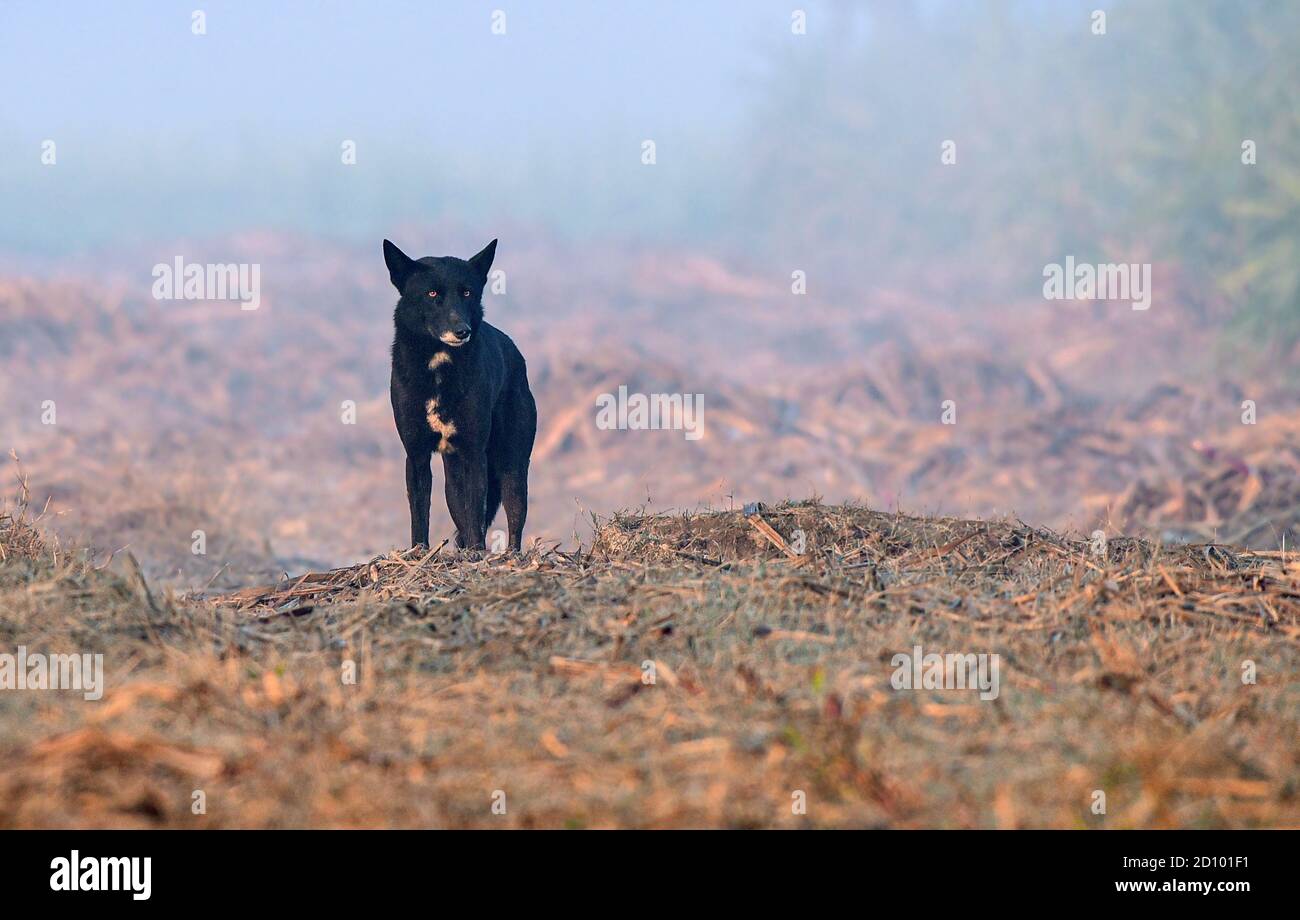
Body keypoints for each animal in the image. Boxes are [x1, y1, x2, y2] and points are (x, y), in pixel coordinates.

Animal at [385, 238, 536, 551]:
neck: (438, 369)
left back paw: (511, 556)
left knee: (513, 517)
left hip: (512, 465)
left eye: (467, 292)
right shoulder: (416, 455)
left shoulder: (474, 454)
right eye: (432, 293)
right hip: (452, 481)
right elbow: (420, 515)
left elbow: (475, 512)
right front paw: (419, 553)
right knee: (461, 519)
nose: (462, 331)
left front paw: (478, 554)